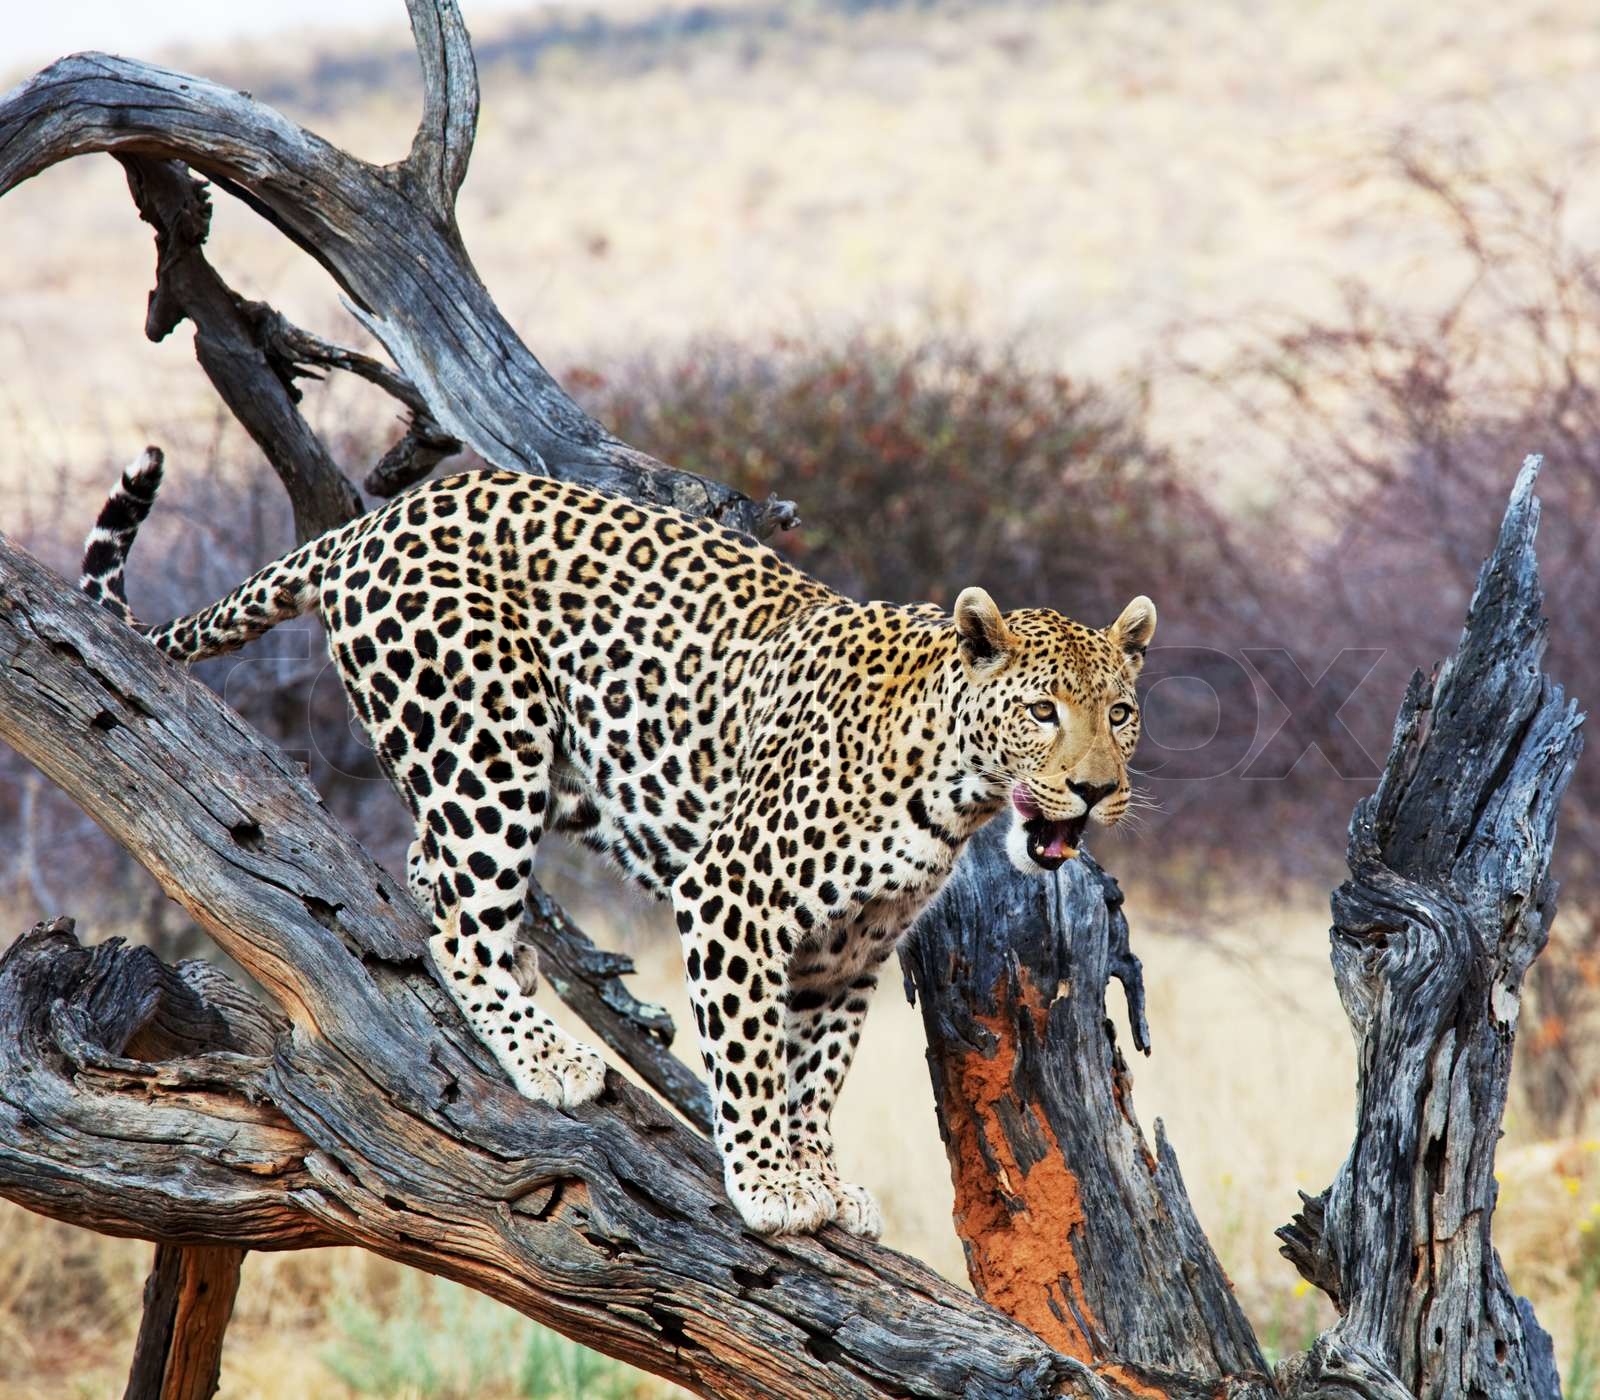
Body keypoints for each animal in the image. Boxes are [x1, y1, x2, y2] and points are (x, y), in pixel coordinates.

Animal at [80, 446, 1156, 1237]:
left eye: (1120, 710)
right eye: (1042, 710)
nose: (1097, 789)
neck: (950, 785)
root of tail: (378, 520)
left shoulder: (850, 950)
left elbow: (815, 1073)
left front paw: (820, 1175)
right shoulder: (734, 893)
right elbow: (751, 1059)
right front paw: (768, 1183)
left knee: (438, 878)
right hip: (486, 746)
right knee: (459, 925)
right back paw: (547, 1051)